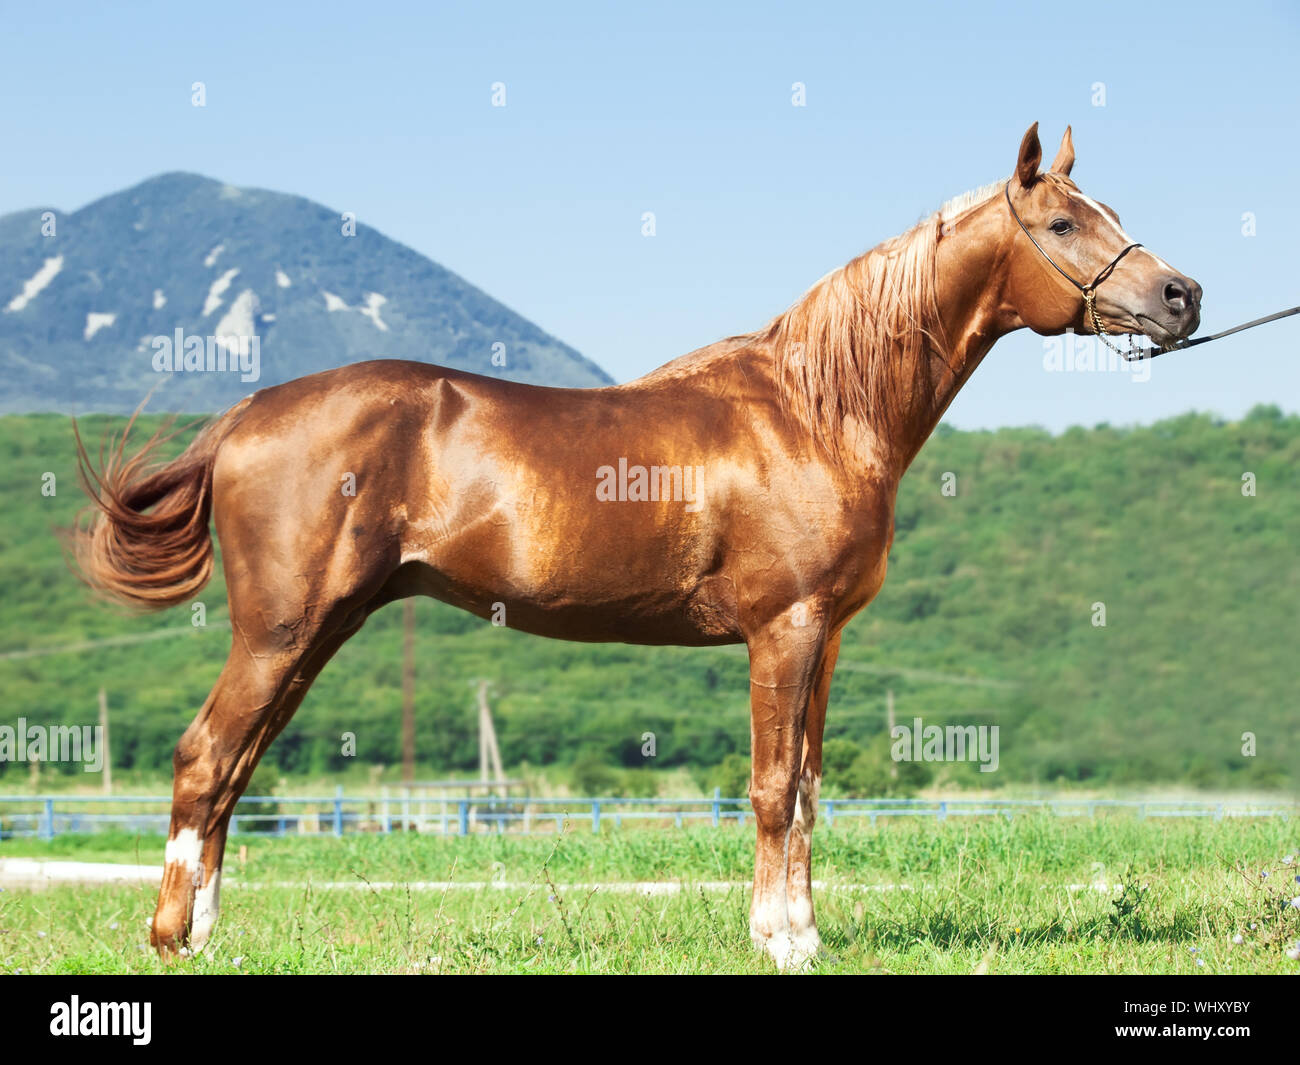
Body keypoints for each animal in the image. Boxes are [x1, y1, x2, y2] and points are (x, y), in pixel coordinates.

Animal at [73, 123, 1201, 969]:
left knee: (235, 768)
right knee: (205, 756)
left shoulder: (827, 639)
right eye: (1063, 221)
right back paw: (173, 939)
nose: (1181, 296)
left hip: (315, 630)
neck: (817, 409)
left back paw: (207, 933)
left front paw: (804, 933)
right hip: (282, 628)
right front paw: (780, 941)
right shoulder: (783, 628)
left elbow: (808, 788)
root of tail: (242, 415)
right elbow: (771, 786)